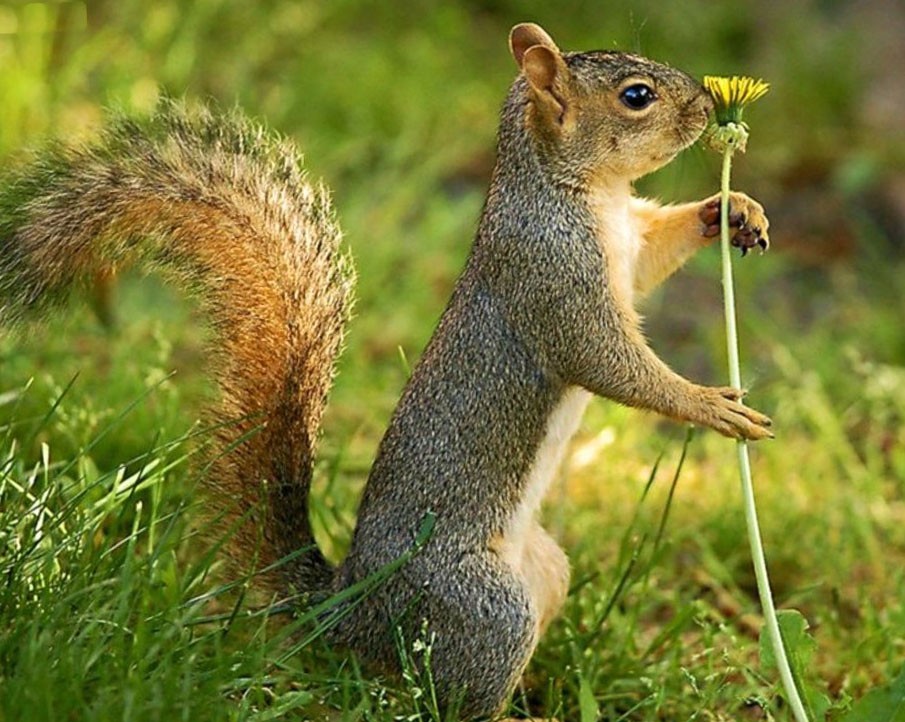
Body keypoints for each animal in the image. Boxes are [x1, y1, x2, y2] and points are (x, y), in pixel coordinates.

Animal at [0, 22, 772, 720]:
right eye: (635, 96)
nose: (708, 104)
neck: (579, 193)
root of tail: (350, 615)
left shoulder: (628, 249)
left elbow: (653, 258)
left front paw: (733, 208)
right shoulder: (550, 278)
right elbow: (607, 363)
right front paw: (710, 405)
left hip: (544, 574)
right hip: (484, 611)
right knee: (437, 699)